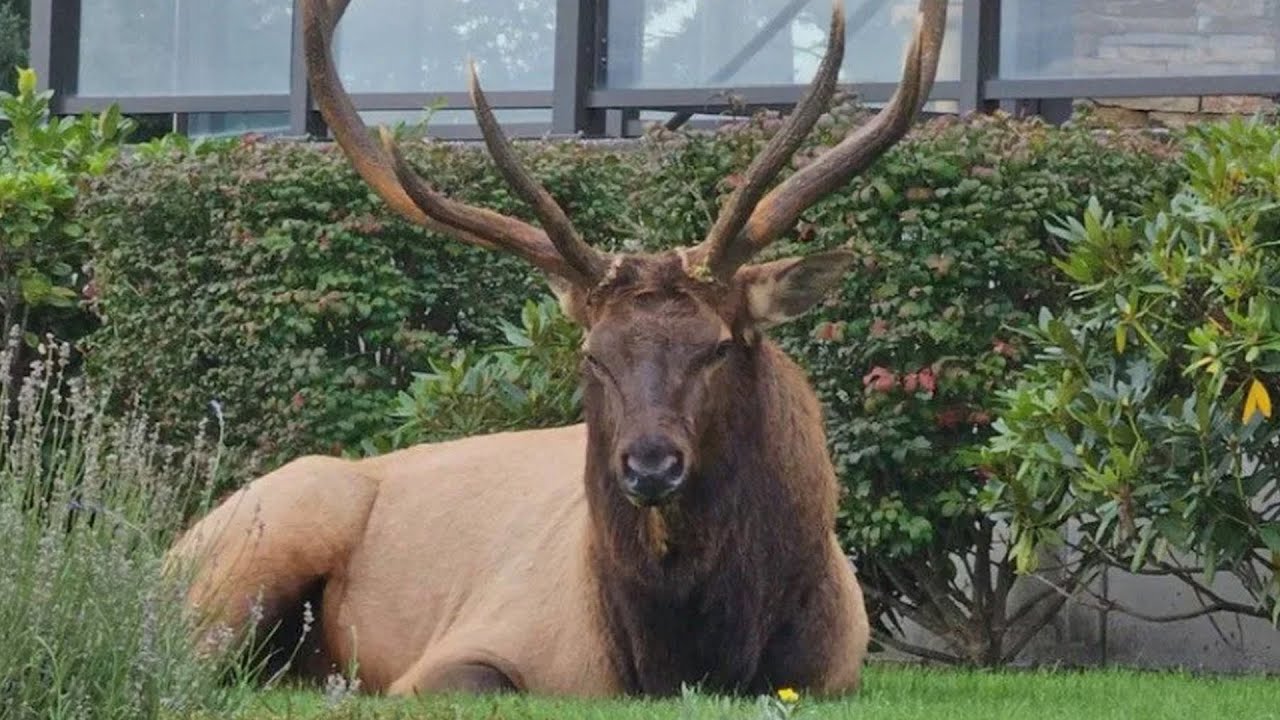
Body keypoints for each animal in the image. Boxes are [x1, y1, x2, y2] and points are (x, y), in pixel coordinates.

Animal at [168, 0, 946, 698]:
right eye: (592, 354)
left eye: (721, 346)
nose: (651, 464)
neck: (685, 659)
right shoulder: (458, 654)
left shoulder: (834, 673)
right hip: (262, 541)